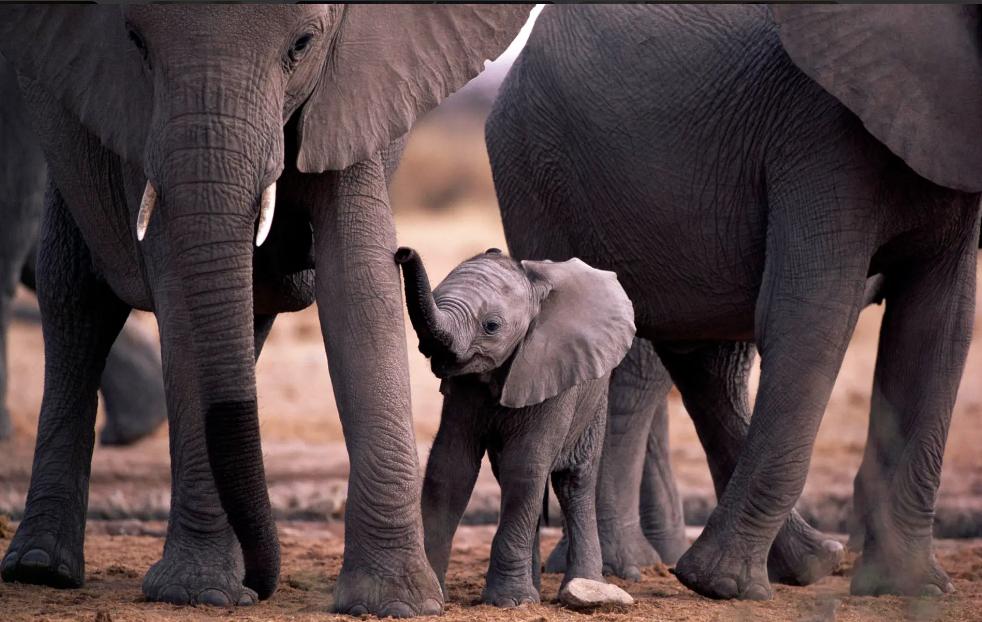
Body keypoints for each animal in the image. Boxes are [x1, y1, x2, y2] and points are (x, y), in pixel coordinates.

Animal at [395, 247, 635, 609]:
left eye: (492, 326)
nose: (402, 252)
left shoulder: (551, 368)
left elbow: (525, 466)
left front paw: (510, 602)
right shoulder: (464, 387)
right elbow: (449, 468)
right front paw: (437, 594)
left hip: (594, 399)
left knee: (572, 482)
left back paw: (583, 586)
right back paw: (534, 589)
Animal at [487, 4, 981, 600]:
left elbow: (937, 330)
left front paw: (909, 588)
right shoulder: (821, 133)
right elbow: (811, 319)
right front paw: (720, 586)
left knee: (703, 359)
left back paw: (809, 563)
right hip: (536, 169)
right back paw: (653, 573)